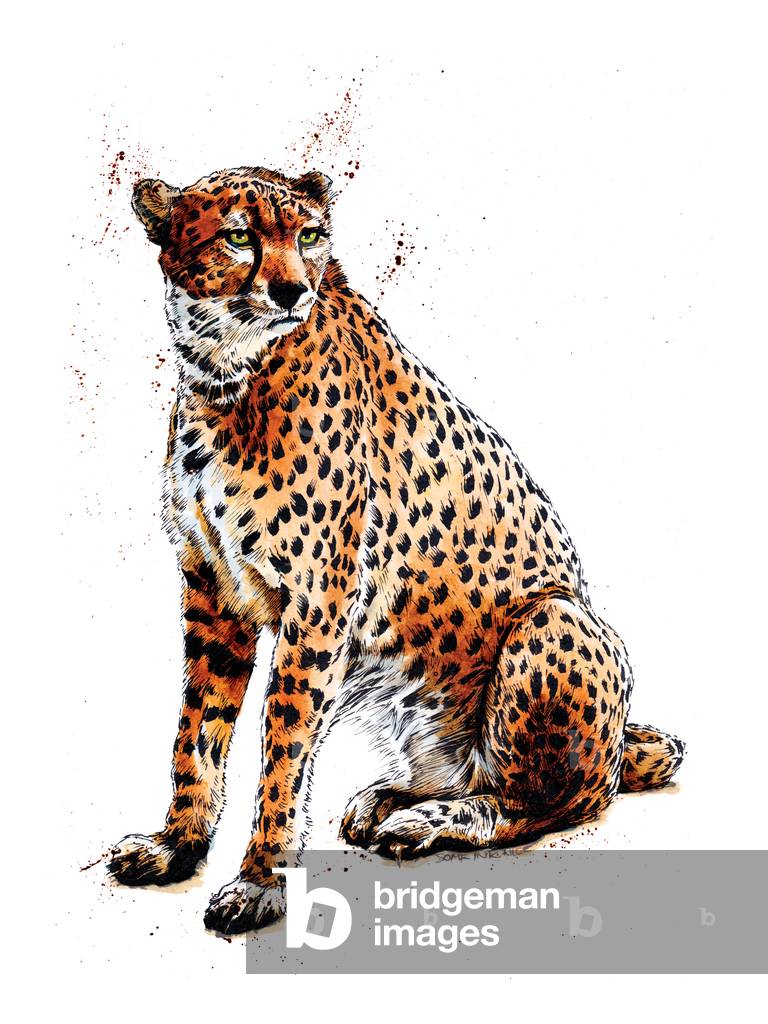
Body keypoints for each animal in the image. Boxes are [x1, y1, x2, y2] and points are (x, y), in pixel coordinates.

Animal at [107, 166, 685, 934]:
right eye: (239, 236)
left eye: (309, 236)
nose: (292, 291)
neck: (225, 373)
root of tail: (622, 744)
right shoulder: (213, 593)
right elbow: (196, 735)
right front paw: (176, 845)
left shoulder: (317, 604)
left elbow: (282, 751)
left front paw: (261, 882)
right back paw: (389, 799)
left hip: (554, 621)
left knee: (542, 802)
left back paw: (430, 820)